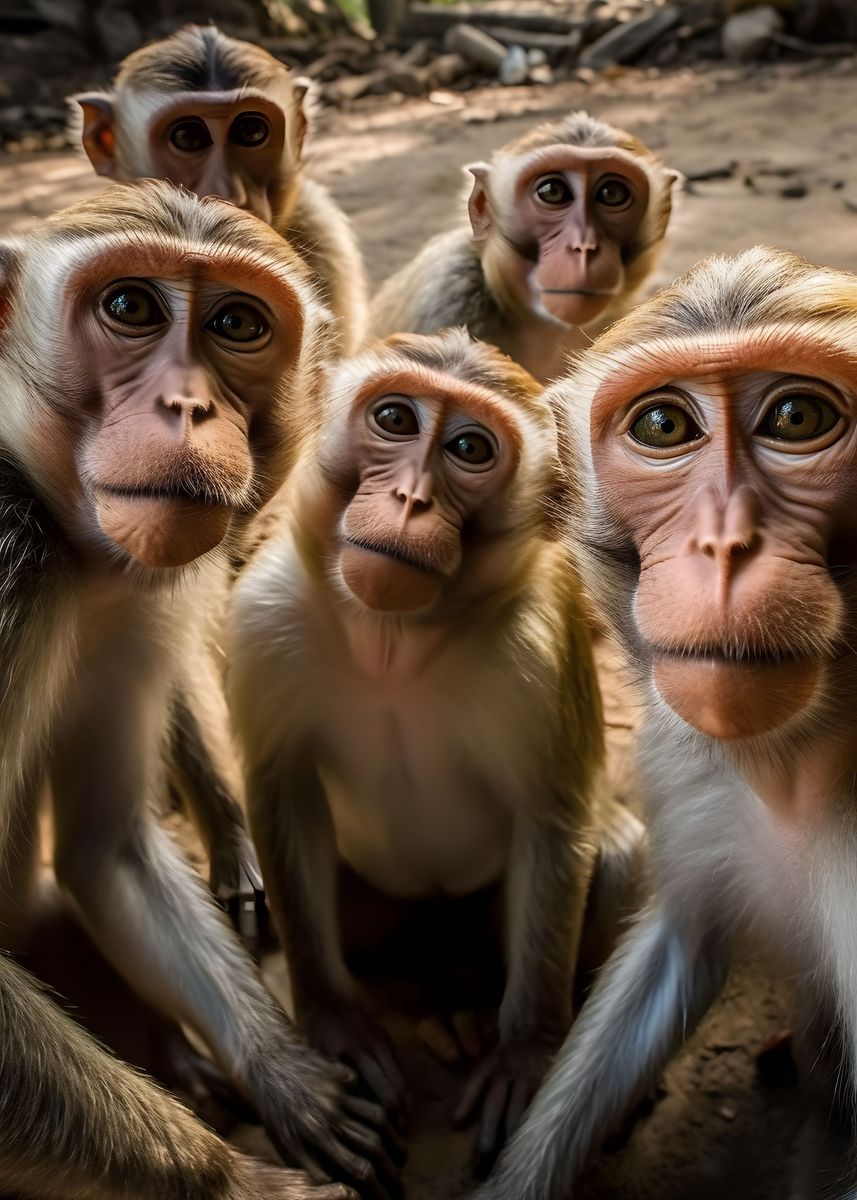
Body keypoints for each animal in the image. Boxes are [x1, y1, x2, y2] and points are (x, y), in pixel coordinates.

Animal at [0, 180, 401, 1200]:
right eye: (129, 306)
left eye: (237, 323)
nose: (187, 405)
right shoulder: (5, 563)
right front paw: (242, 1185)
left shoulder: (133, 599)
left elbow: (107, 845)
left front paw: (293, 1080)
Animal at [228, 328, 646, 1172]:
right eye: (393, 418)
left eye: (469, 448)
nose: (410, 500)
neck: (393, 642)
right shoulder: (265, 614)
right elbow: (281, 790)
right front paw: (337, 1030)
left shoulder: (535, 651)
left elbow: (552, 821)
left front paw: (527, 1056)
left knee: (611, 855)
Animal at [471, 246, 857, 1200]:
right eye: (661, 426)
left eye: (798, 417)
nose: (721, 546)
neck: (796, 762)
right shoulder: (684, 756)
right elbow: (679, 948)